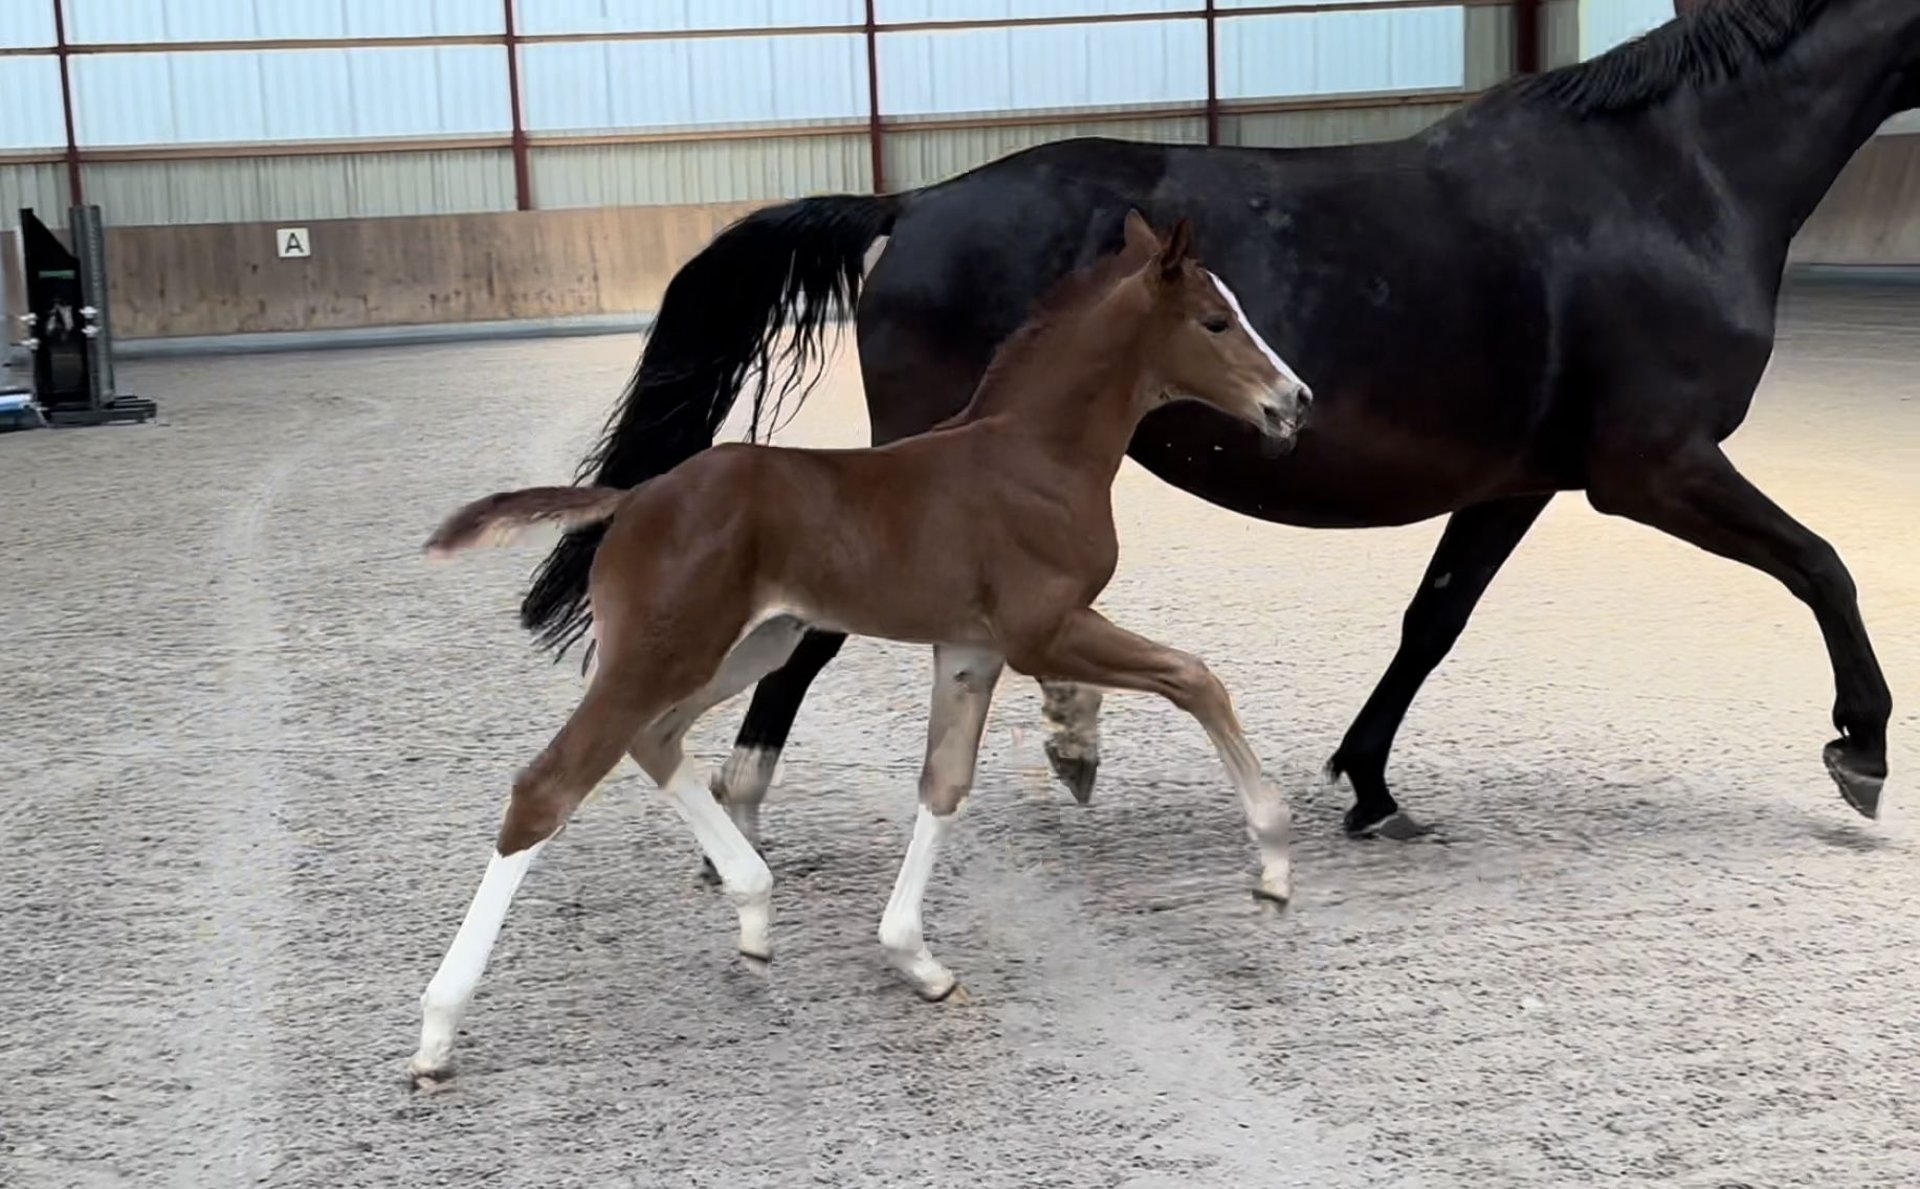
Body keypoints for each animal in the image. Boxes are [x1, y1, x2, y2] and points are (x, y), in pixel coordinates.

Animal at [406, 213, 1312, 1087]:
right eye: (1216, 320)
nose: (1295, 400)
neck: (1035, 453)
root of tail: (634, 498)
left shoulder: (970, 649)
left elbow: (944, 783)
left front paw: (915, 957)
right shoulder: (1043, 631)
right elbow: (1196, 678)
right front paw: (1271, 865)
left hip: (753, 645)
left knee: (653, 738)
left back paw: (755, 907)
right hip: (669, 652)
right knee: (549, 786)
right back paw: (438, 1031)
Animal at [523, 0, 1914, 849]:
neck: (1672, 177)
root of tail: (914, 202)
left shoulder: (1518, 480)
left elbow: (1432, 623)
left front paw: (1371, 786)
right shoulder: (1654, 467)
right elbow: (1825, 566)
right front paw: (1861, 748)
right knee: (817, 633)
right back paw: (747, 816)